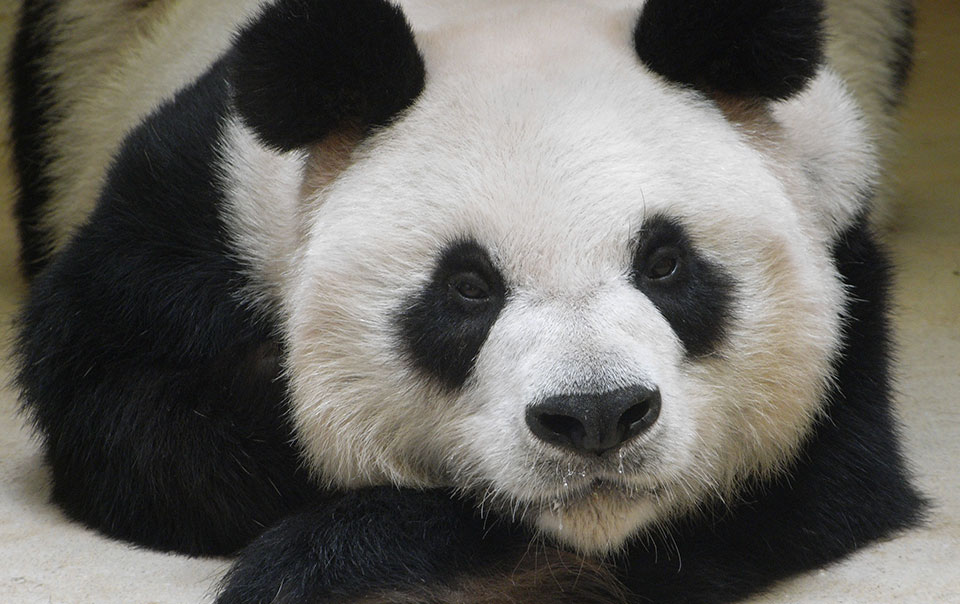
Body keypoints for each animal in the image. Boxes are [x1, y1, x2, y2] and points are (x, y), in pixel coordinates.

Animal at [9, 0, 924, 602]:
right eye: (468, 287)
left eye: (665, 263)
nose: (597, 415)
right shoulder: (196, 209)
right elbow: (131, 417)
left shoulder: (837, 221)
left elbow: (817, 486)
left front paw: (342, 563)